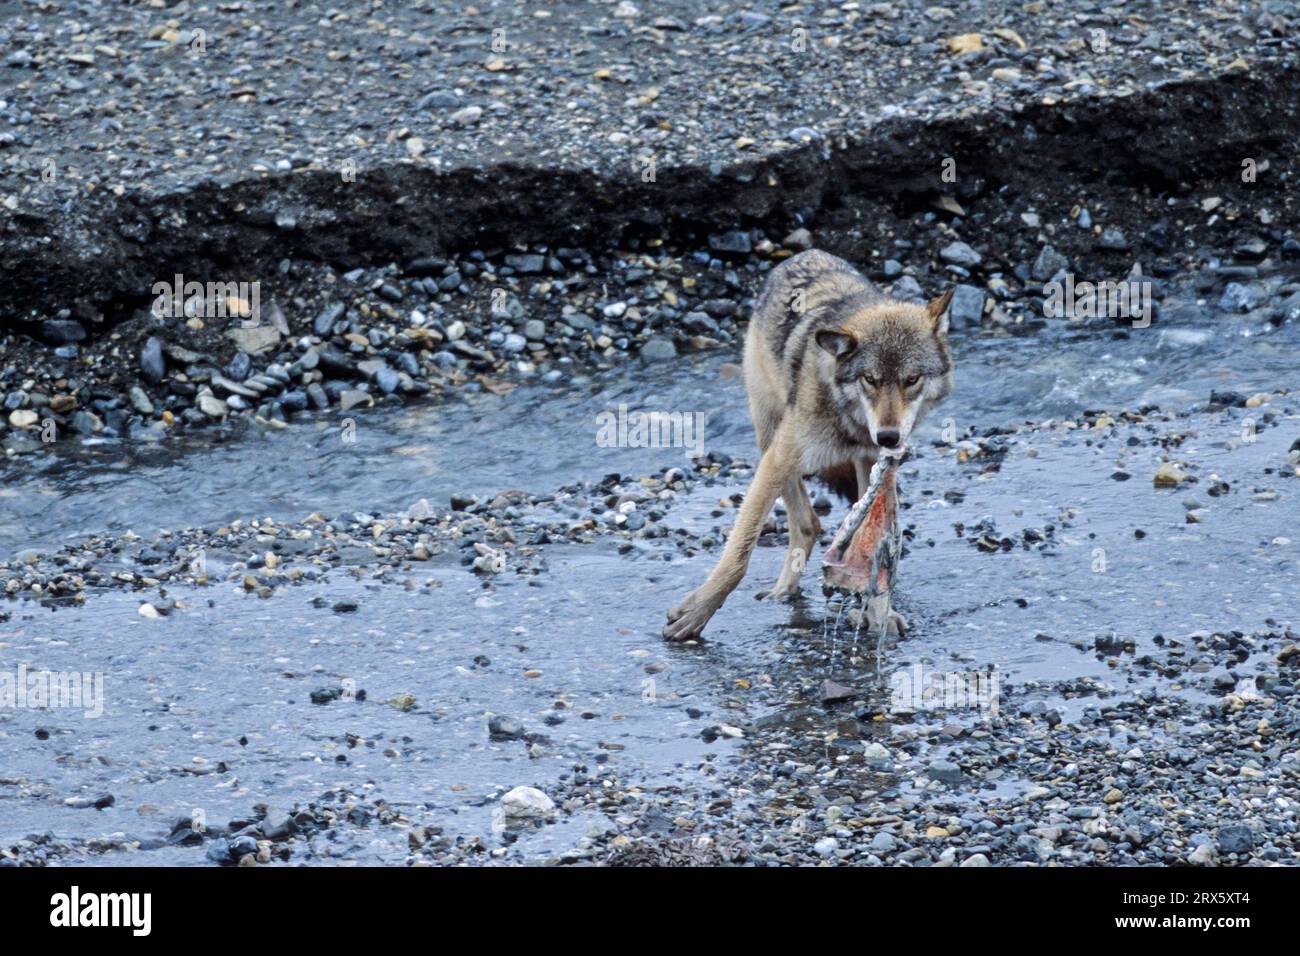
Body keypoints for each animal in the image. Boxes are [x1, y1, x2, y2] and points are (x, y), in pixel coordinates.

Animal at [663, 250, 954, 641]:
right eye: (870, 379)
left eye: (912, 379)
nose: (888, 437)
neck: (850, 421)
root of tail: (804, 254)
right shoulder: (778, 459)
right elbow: (738, 554)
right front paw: (697, 612)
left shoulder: (876, 465)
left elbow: (877, 542)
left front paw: (881, 613)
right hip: (772, 438)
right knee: (806, 523)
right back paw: (782, 590)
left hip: (852, 464)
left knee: (818, 524)